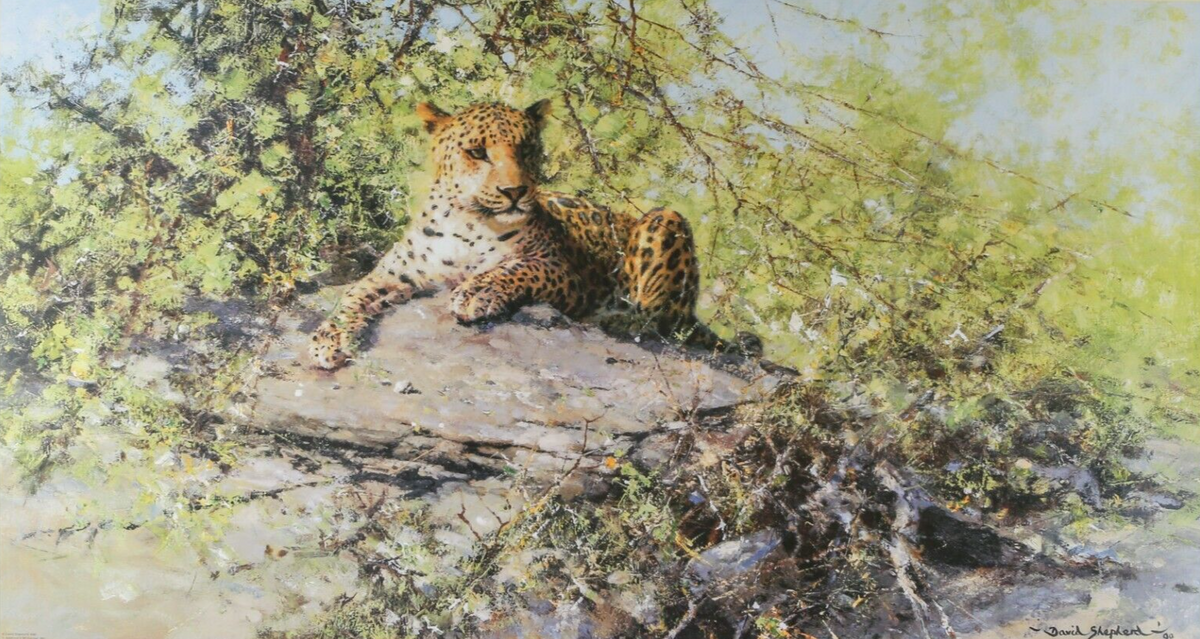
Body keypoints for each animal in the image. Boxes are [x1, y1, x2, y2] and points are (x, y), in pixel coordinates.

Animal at [309, 99, 758, 370]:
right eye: (477, 152)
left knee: (660, 321)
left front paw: (476, 292)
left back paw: (617, 317)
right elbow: (353, 295)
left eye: (525, 150)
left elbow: (514, 270)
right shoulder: (395, 273)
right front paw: (328, 340)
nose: (515, 191)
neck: (467, 222)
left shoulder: (562, 270)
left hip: (666, 220)